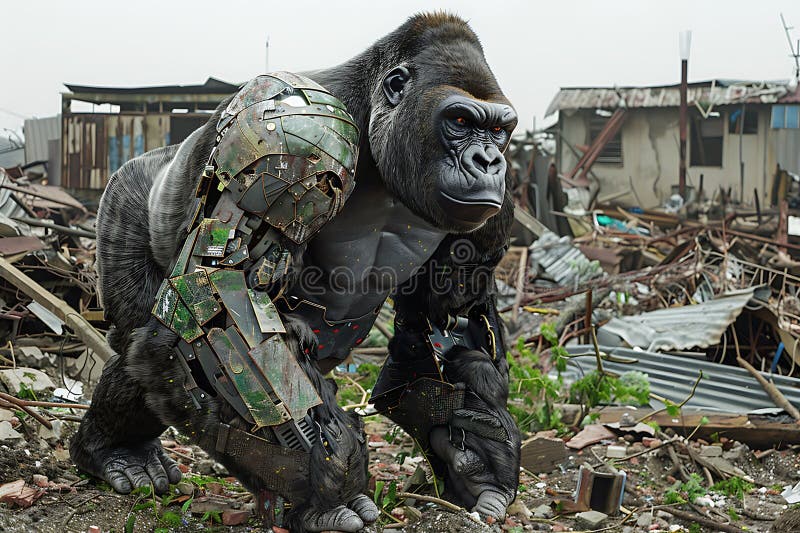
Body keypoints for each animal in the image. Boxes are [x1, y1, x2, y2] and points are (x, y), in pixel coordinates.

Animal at [71, 12, 520, 532]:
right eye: (460, 121)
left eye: (499, 131)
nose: (488, 161)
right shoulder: (305, 123)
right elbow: (222, 301)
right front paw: (321, 485)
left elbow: (445, 317)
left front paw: (476, 454)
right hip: (123, 199)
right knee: (152, 334)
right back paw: (117, 452)